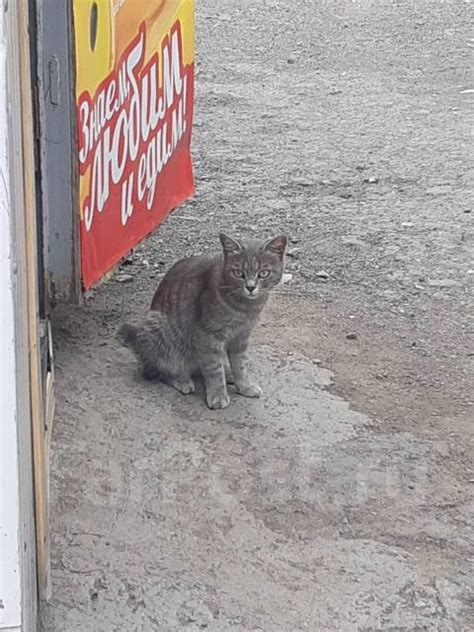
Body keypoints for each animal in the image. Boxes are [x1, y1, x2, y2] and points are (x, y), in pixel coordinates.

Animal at [119, 232, 288, 410]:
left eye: (263, 273)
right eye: (238, 273)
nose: (250, 287)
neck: (244, 308)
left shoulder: (241, 337)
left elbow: (240, 365)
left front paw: (244, 385)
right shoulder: (208, 336)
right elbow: (213, 369)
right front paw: (218, 394)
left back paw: (228, 373)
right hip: (158, 333)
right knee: (156, 370)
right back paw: (181, 379)